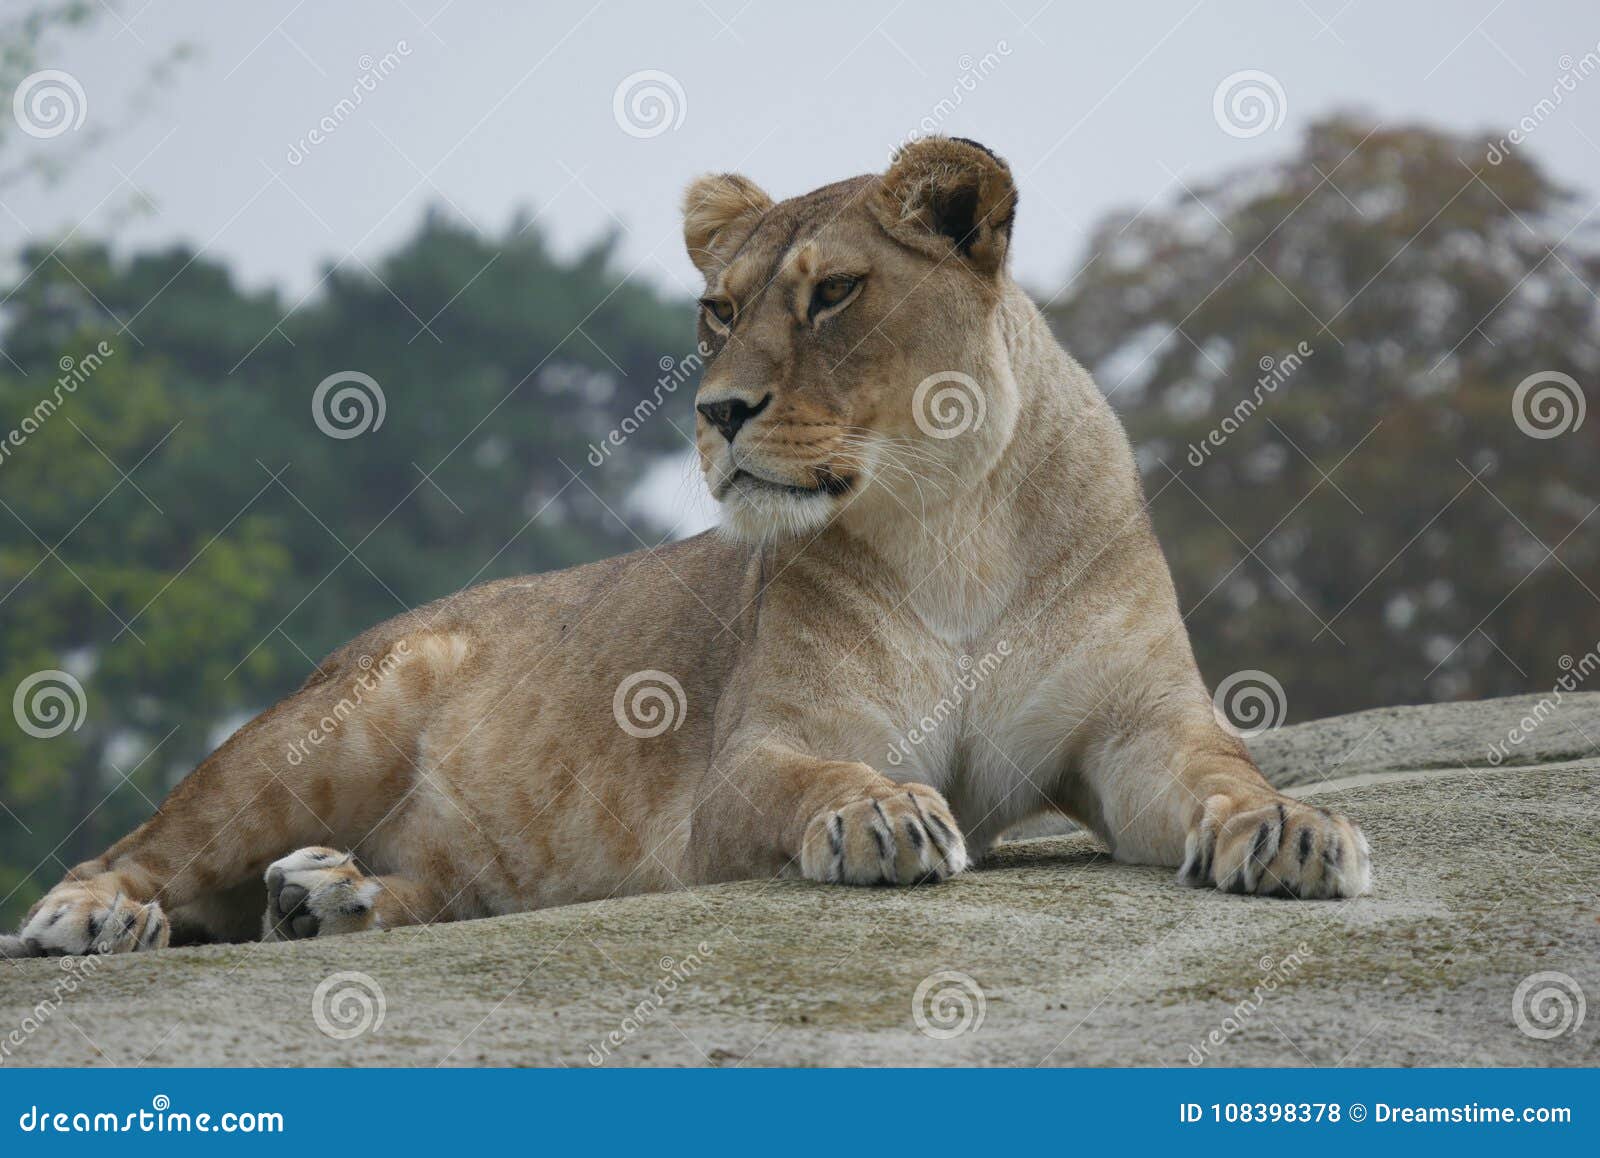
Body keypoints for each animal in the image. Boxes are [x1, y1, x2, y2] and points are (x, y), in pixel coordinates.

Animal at [8, 137, 1369, 958]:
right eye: (718, 309)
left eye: (832, 294)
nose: (716, 412)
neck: (952, 522)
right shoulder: (752, 761)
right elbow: (816, 780)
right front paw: (879, 817)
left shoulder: (1135, 728)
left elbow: (1226, 773)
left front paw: (1295, 834)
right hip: (320, 735)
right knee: (144, 851)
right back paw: (96, 920)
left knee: (420, 891)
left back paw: (322, 898)